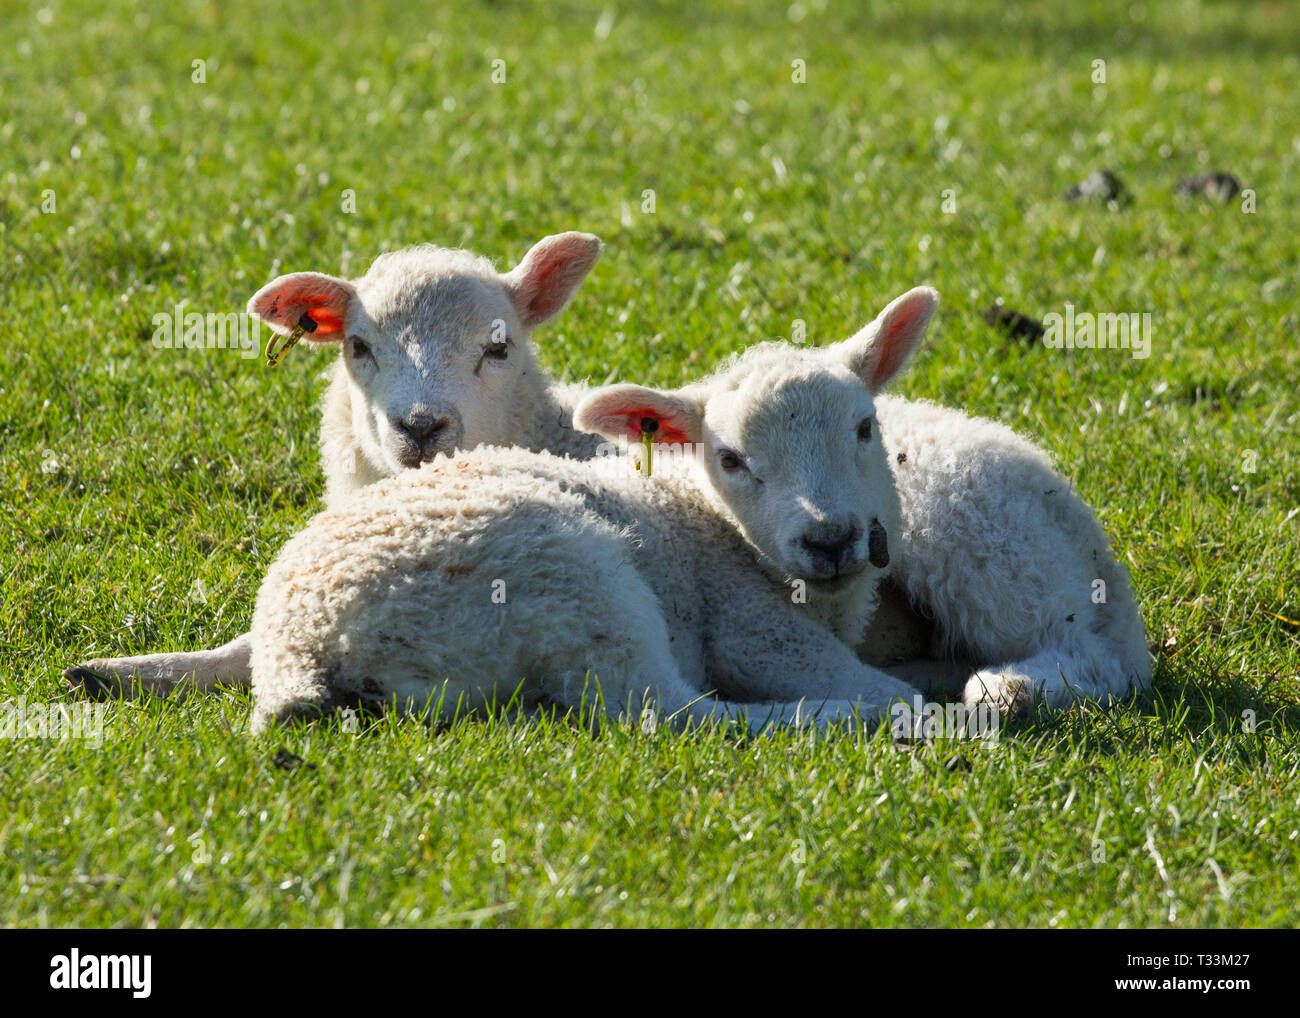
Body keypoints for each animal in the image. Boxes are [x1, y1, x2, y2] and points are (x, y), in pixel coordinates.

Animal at [247, 289, 943, 734]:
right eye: (730, 459)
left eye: (865, 427)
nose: (831, 539)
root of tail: (296, 649)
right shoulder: (753, 627)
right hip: (578, 584)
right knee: (668, 711)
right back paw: (854, 716)